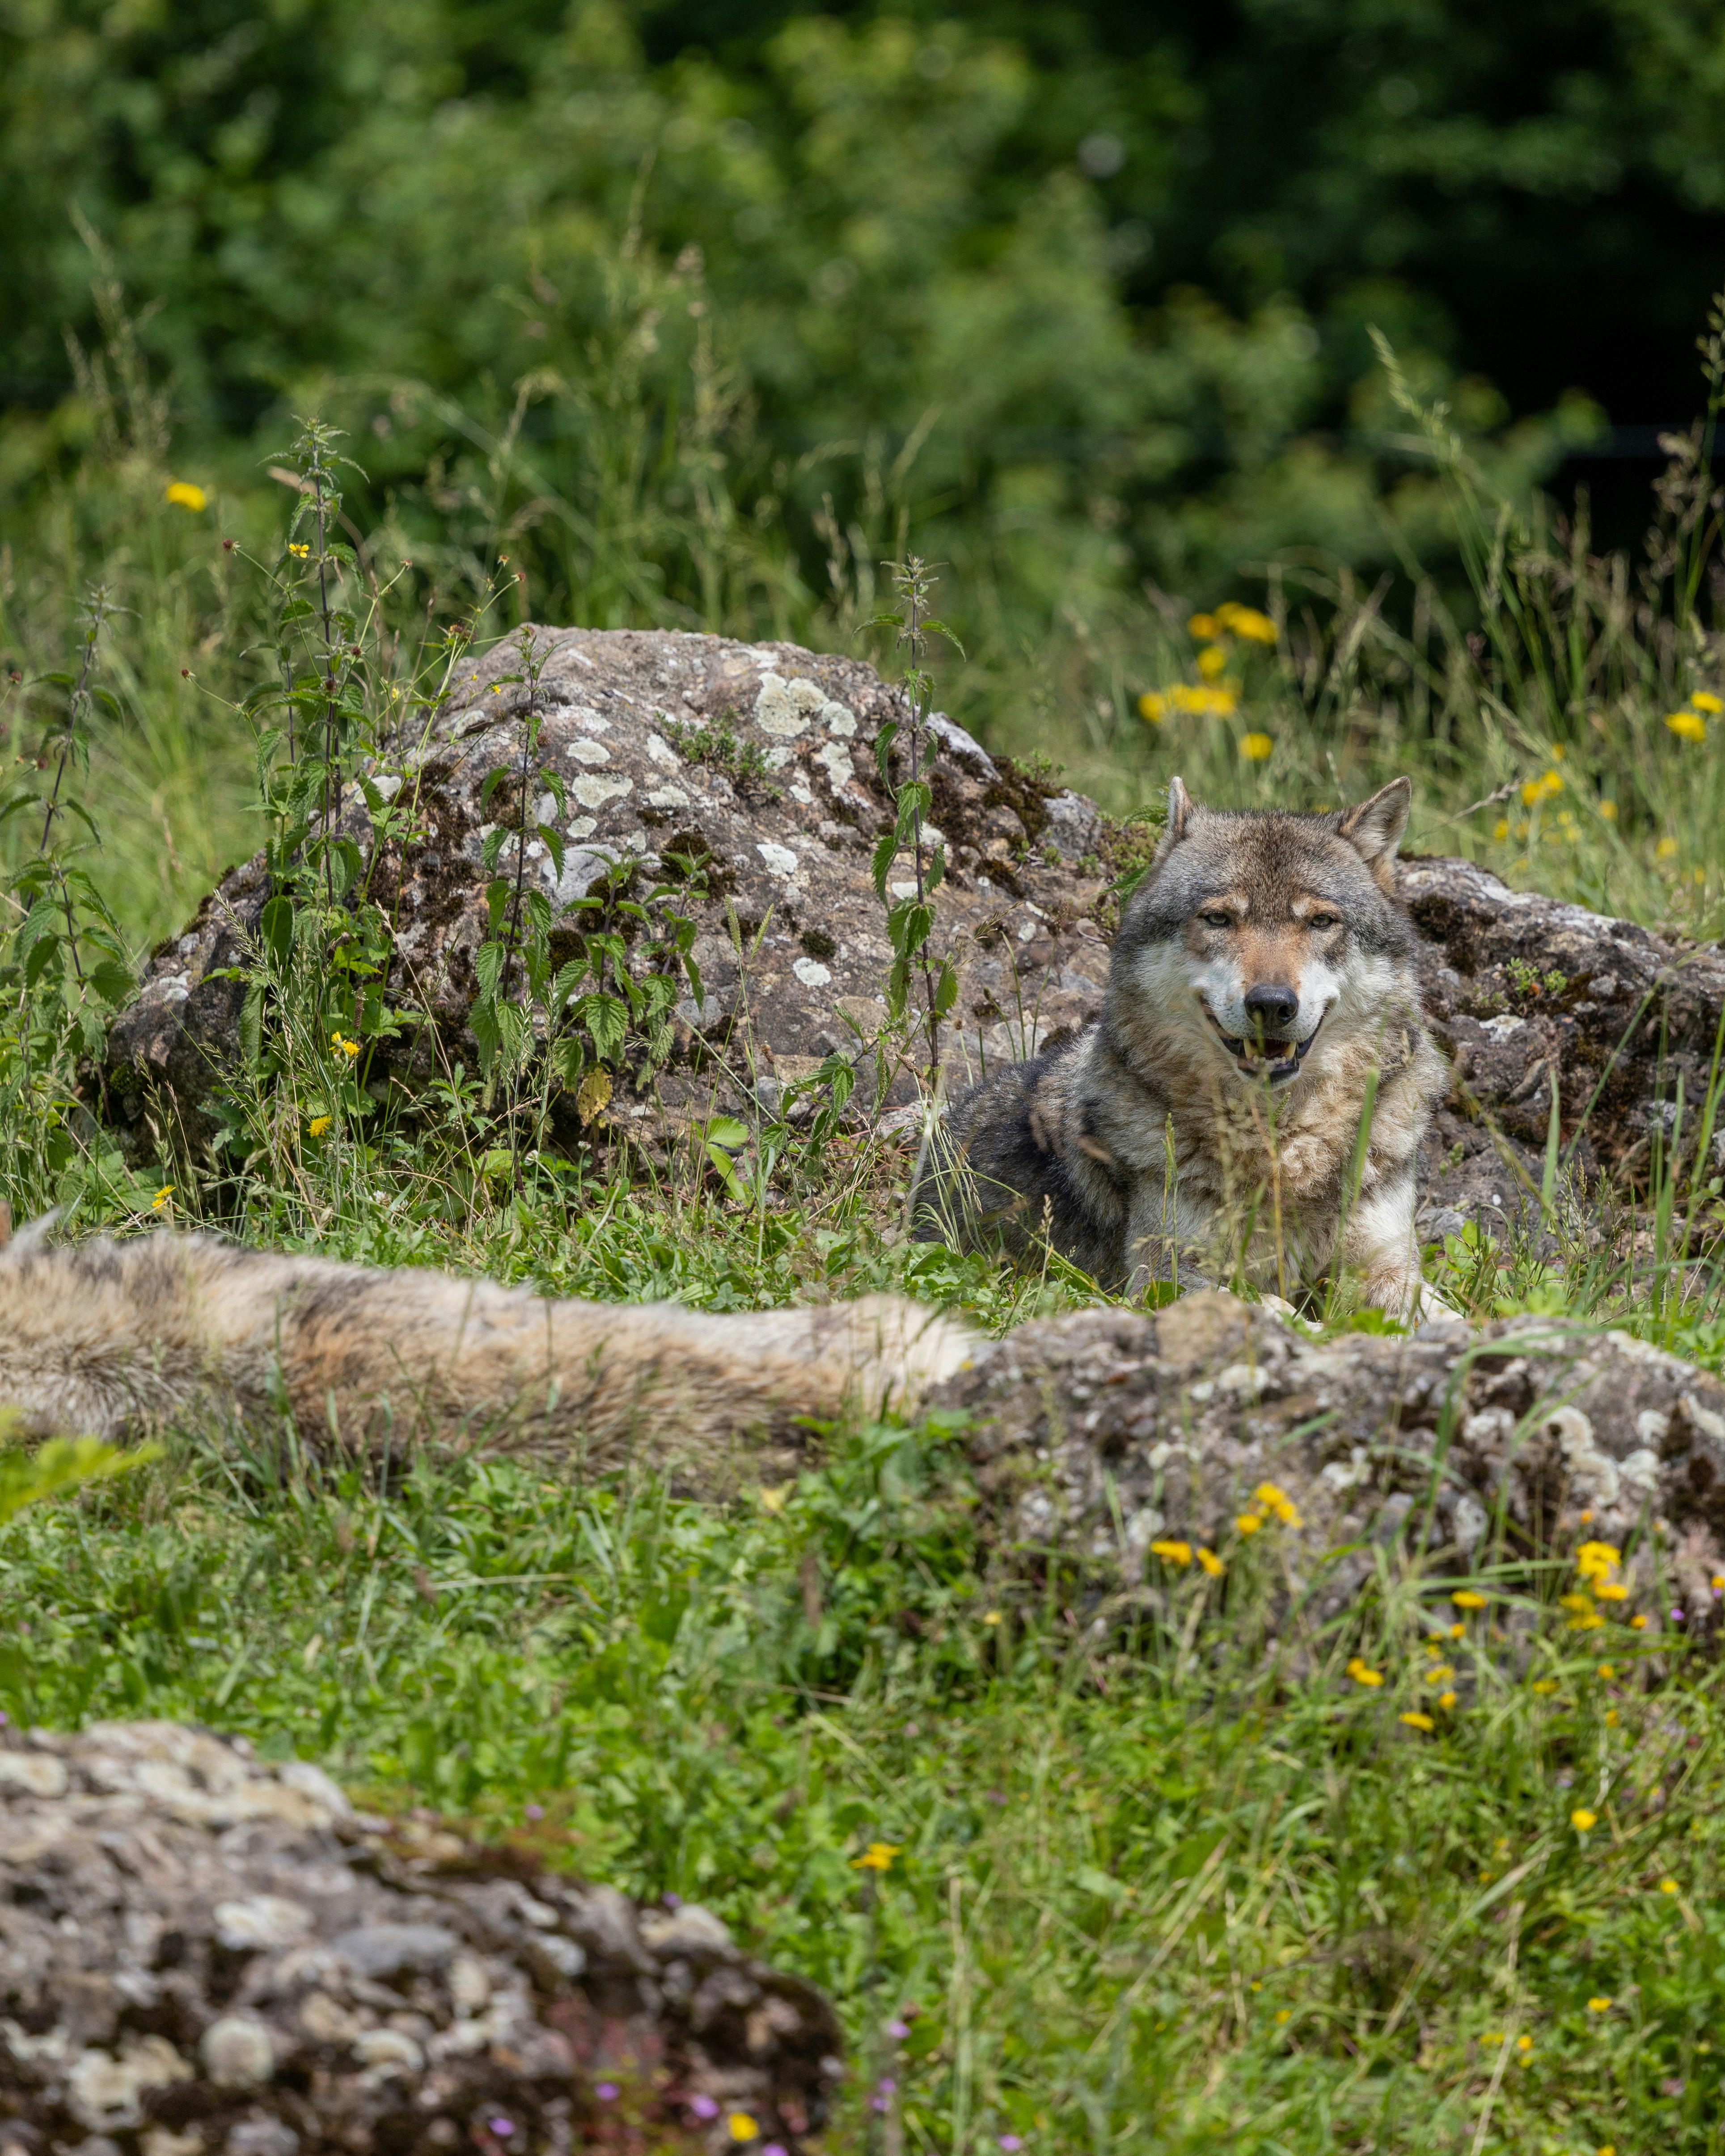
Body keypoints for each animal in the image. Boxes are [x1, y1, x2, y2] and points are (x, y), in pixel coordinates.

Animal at [915, 775, 1451, 1318]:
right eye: (1218, 919)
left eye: (1321, 922)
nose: (1272, 1003)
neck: (1280, 1144)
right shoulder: (1164, 1274)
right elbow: (1269, 1305)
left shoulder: (1389, 1264)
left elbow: (1444, 1311)